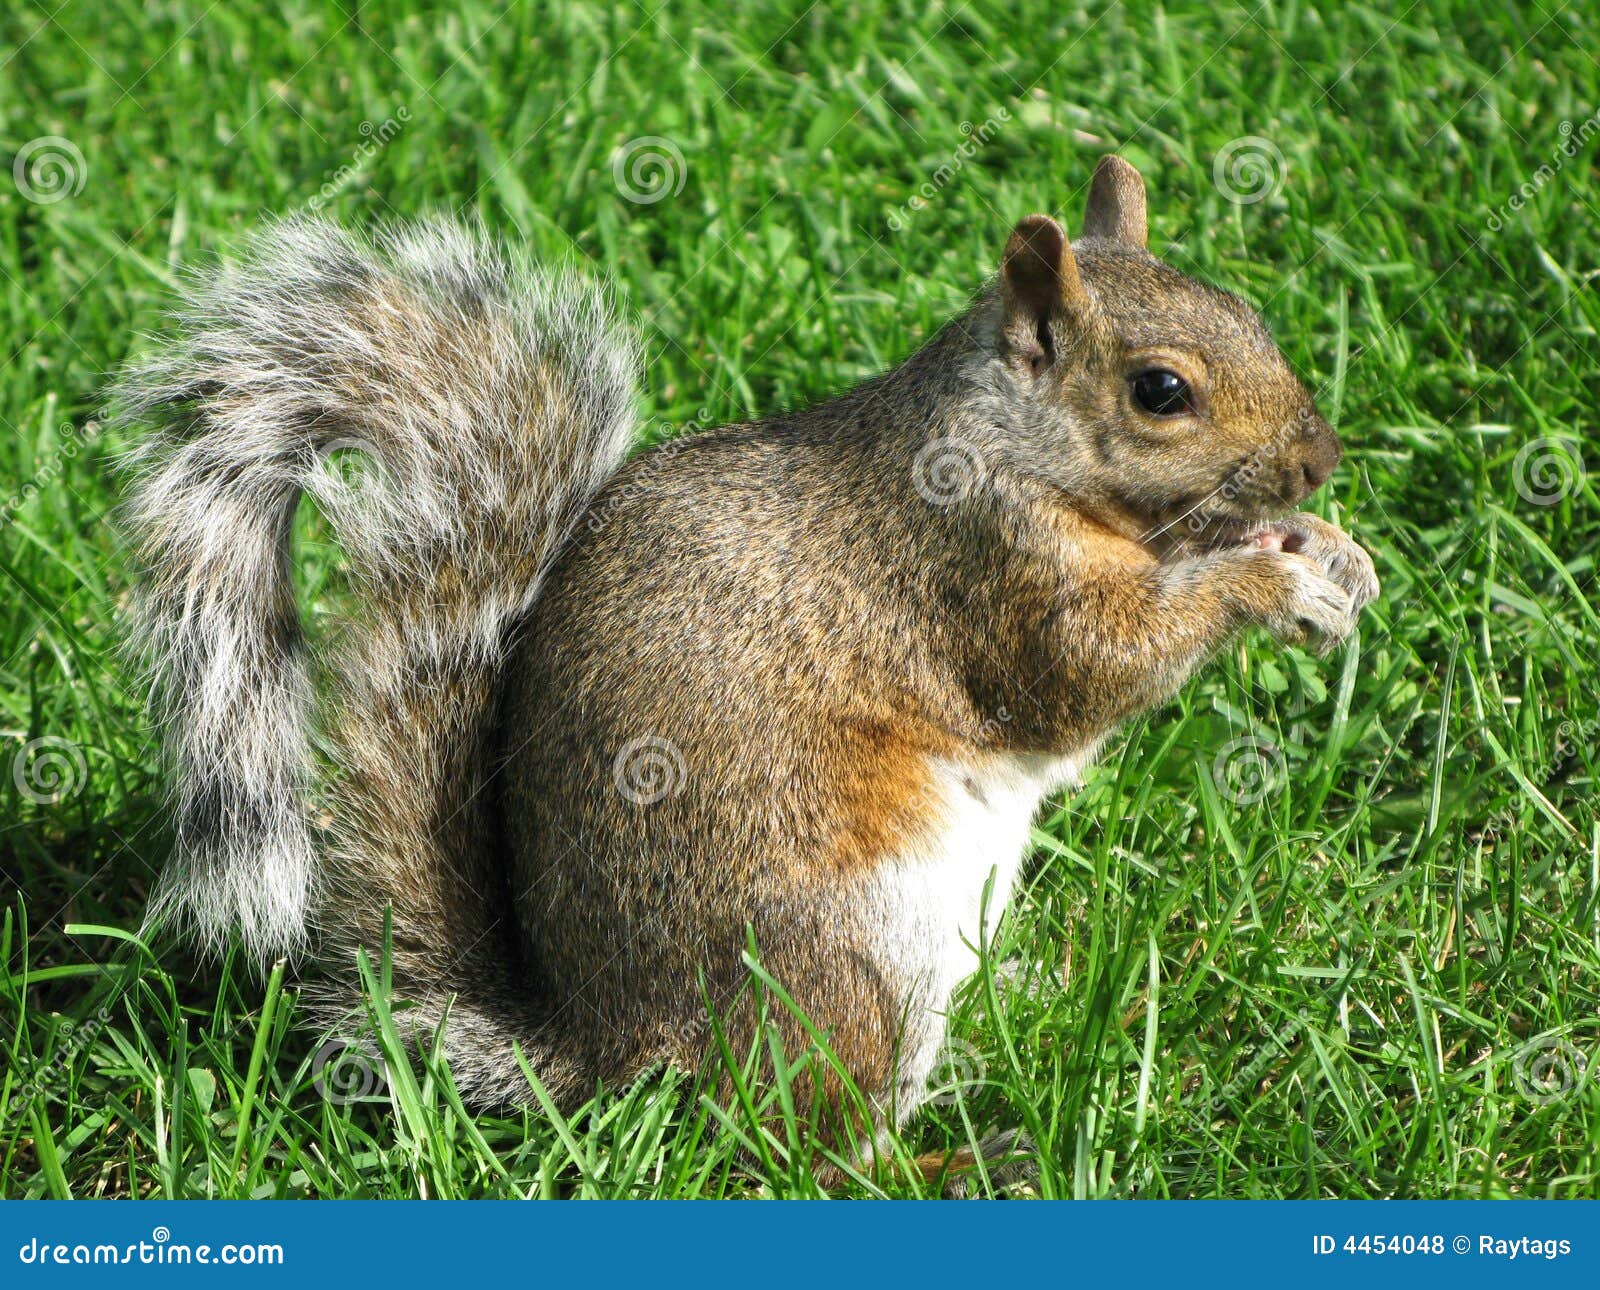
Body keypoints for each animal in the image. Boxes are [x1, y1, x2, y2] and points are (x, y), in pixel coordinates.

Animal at [117, 156, 1377, 1181]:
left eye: (1250, 314)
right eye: (1161, 391)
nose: (1321, 458)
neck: (1013, 445)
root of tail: (612, 1056)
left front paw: (1329, 552)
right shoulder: (983, 567)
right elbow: (1088, 671)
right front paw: (1264, 582)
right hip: (849, 966)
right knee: (802, 1151)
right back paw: (964, 1160)